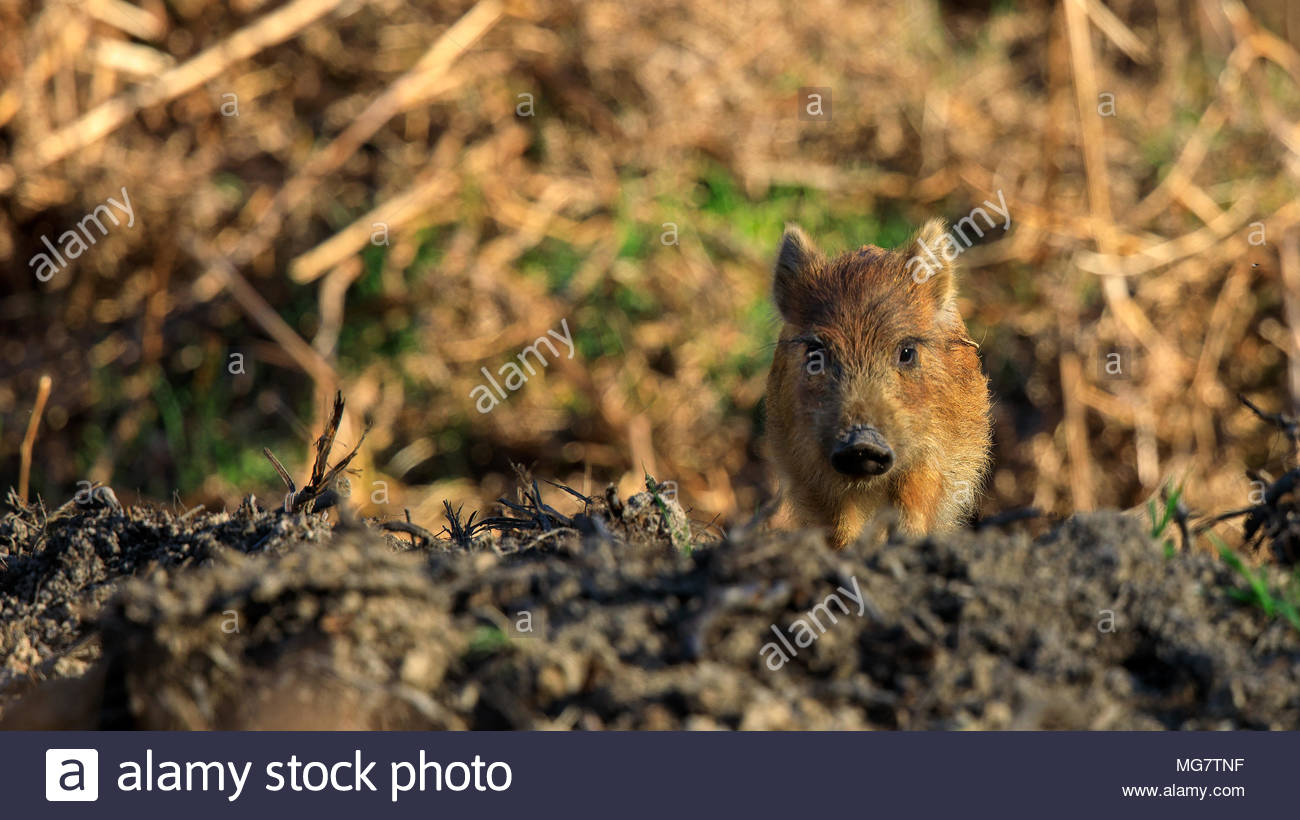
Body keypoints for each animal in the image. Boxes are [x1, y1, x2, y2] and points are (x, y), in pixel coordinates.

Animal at [763, 220, 992, 548]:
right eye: (815, 353)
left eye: (907, 352)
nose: (862, 442)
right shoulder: (808, 460)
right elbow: (838, 521)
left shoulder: (934, 448)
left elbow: (914, 499)